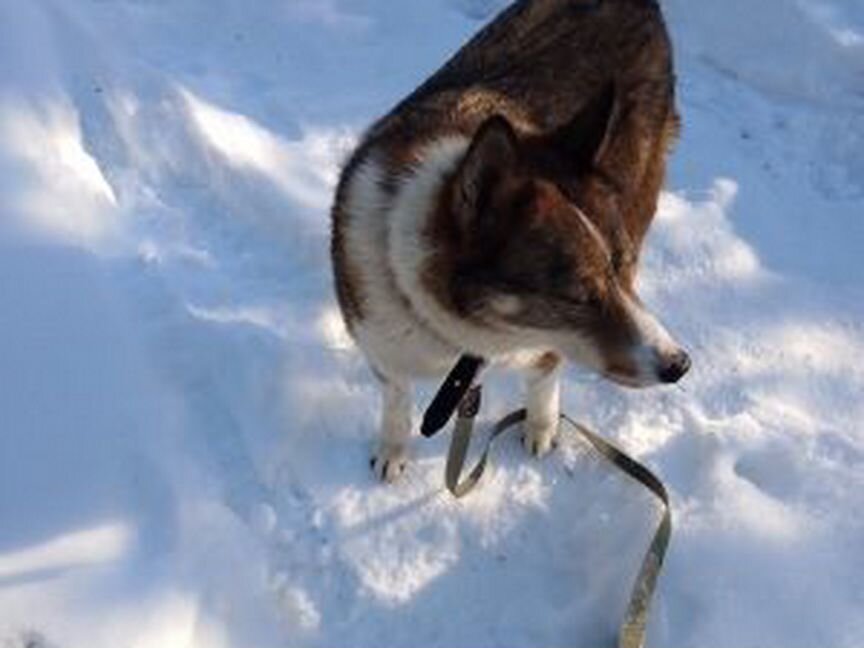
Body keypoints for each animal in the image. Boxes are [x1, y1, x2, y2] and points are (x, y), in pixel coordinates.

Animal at [330, 0, 688, 478]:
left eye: (625, 269)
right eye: (576, 296)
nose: (679, 364)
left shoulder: (545, 348)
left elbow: (544, 376)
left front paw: (541, 427)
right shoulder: (381, 345)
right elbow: (396, 397)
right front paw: (393, 448)